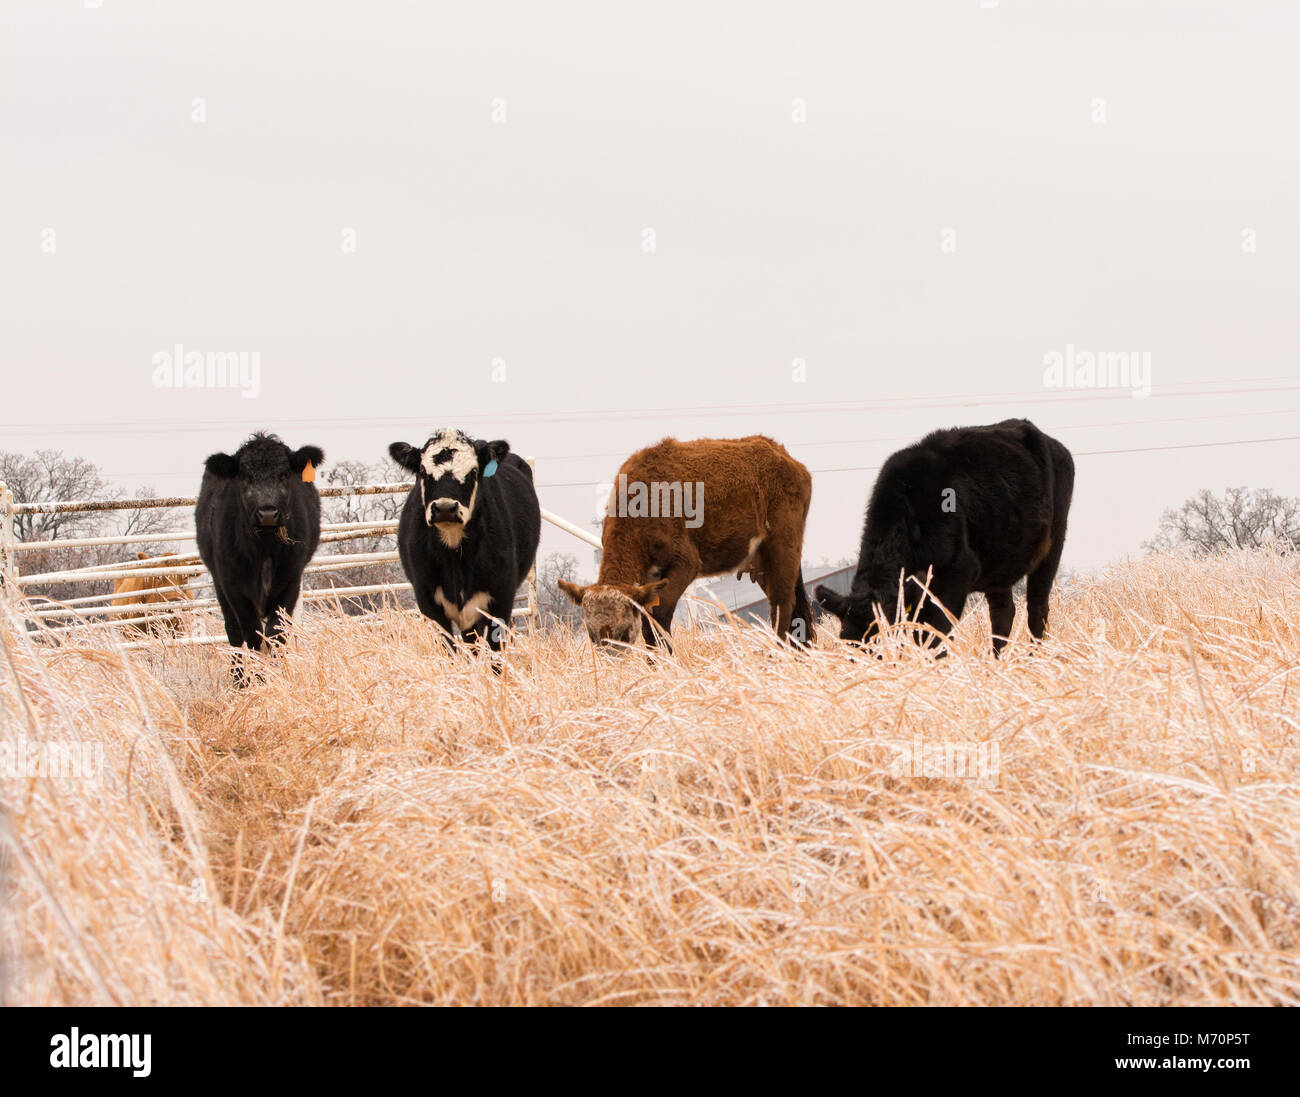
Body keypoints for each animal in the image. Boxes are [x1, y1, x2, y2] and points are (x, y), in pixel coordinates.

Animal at [195, 433, 324, 676]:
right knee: (234, 634)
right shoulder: (233, 587)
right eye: (245, 477)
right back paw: (238, 677)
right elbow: (252, 636)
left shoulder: (290, 583)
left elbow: (276, 634)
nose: (268, 513)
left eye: (284, 475)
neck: (264, 548)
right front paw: (257, 678)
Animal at [558, 435, 814, 651]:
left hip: (783, 544)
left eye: (623, 632)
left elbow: (659, 616)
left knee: (782, 603)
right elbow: (647, 623)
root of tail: (781, 453)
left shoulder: (685, 562)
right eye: (592, 636)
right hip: (760, 561)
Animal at [816, 418, 1074, 656]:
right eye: (847, 646)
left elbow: (934, 634)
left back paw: (1034, 657)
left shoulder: (956, 573)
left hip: (1053, 546)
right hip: (999, 561)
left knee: (1037, 609)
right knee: (1003, 612)